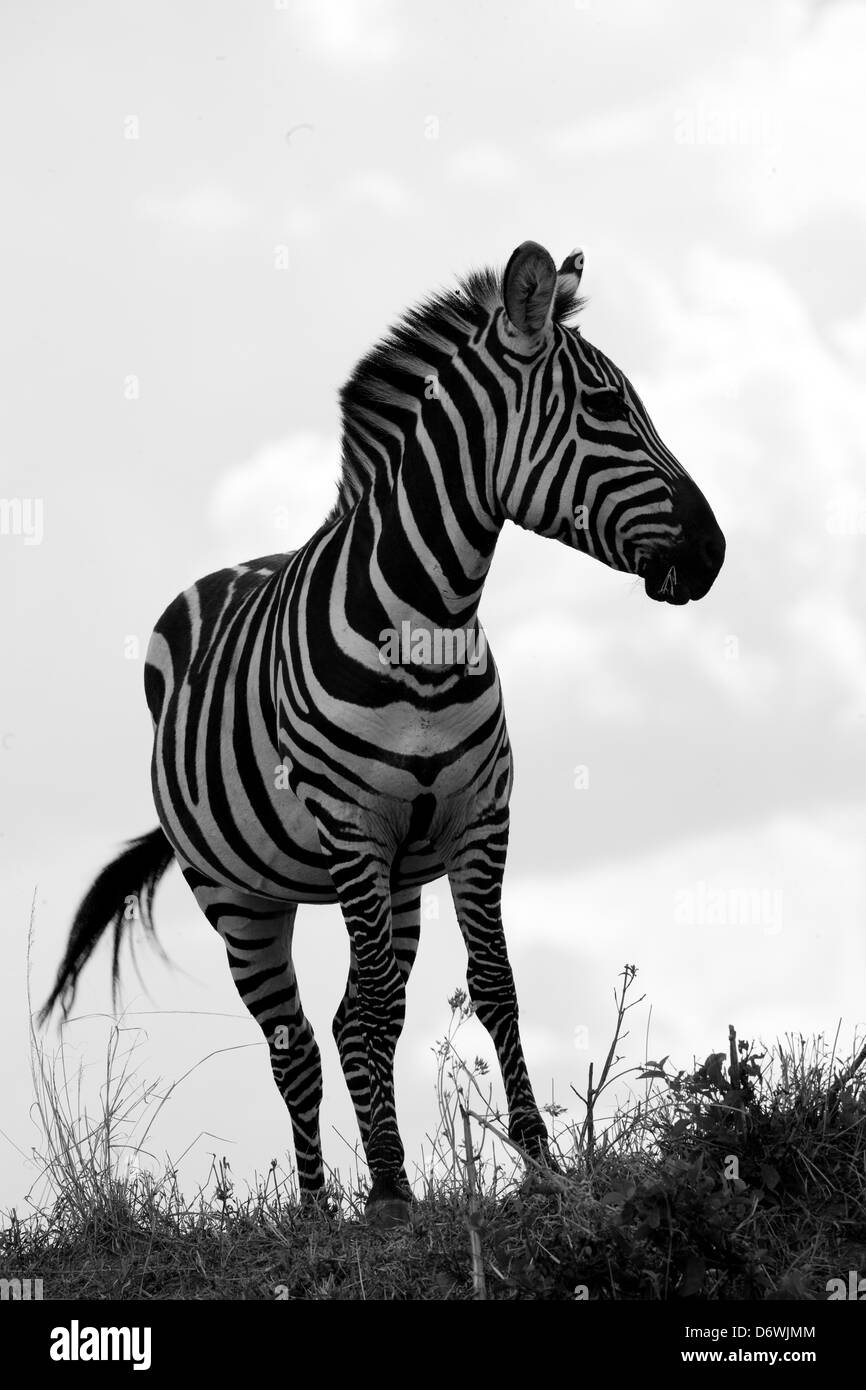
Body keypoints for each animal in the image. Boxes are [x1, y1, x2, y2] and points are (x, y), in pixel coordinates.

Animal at [40, 240, 725, 1224]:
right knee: (295, 1040)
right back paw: (320, 1212)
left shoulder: (477, 821)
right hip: (239, 894)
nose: (714, 554)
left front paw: (538, 1165)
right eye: (605, 406)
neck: (428, 620)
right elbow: (364, 1016)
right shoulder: (354, 829)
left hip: (401, 877)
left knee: (356, 1016)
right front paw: (394, 1191)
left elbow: (492, 988)